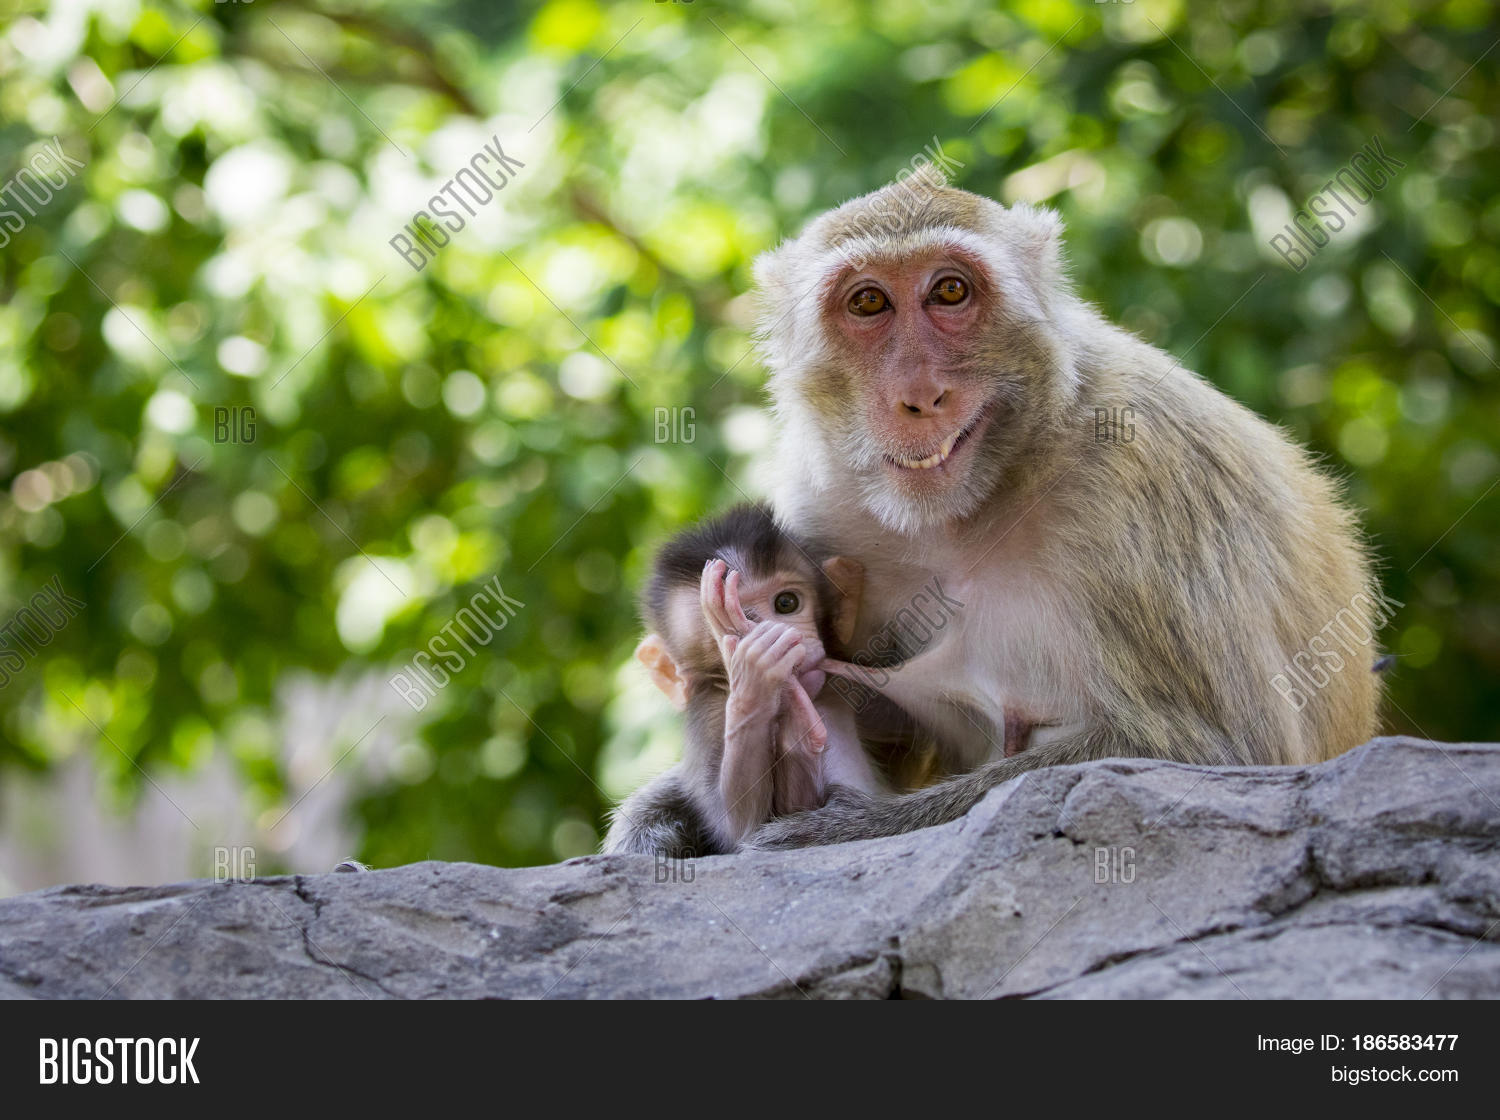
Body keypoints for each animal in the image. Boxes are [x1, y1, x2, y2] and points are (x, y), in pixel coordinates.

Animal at [602, 504, 891, 857]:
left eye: (786, 603)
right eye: (731, 630)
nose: (788, 641)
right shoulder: (710, 711)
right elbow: (740, 827)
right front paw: (760, 690)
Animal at [736, 181, 1383, 849]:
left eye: (950, 291)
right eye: (868, 302)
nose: (918, 394)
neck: (967, 515)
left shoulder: (1140, 468)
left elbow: (1227, 752)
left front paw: (839, 827)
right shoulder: (819, 515)